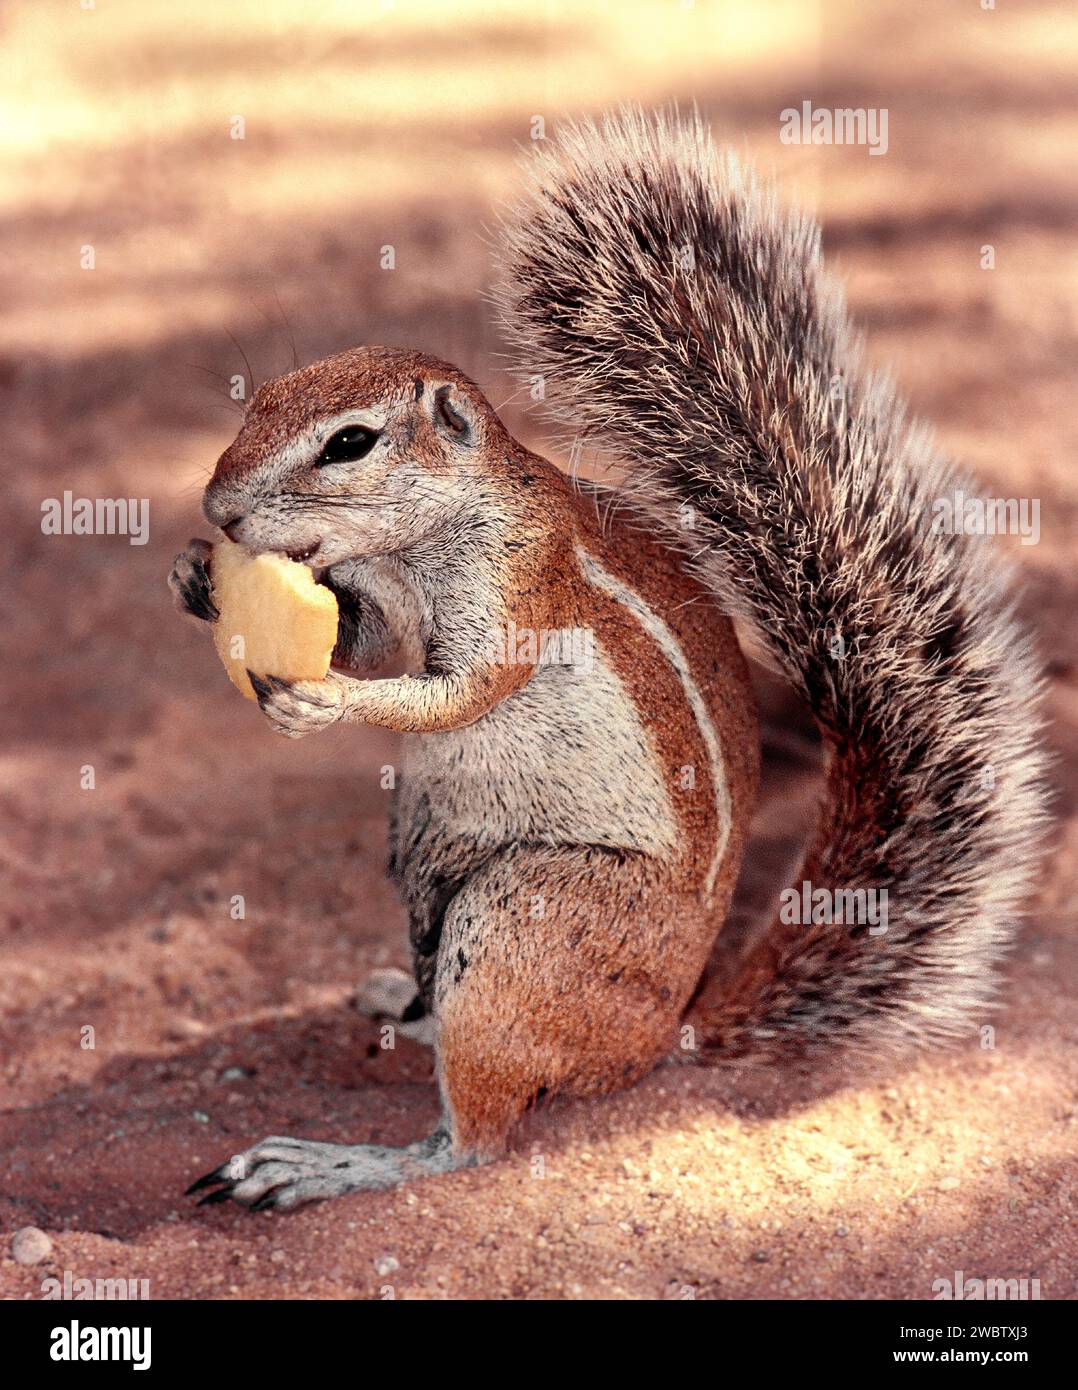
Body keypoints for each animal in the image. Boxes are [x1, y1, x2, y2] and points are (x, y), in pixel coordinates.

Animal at [172, 108, 1046, 1211]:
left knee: (470, 1142)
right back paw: (395, 1000)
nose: (219, 510)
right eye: (262, 401)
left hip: (525, 919)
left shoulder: (517, 590)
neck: (413, 547)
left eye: (350, 443)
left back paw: (329, 1160)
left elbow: (452, 693)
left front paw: (326, 701)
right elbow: (380, 645)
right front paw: (194, 583)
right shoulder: (385, 606)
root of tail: (661, 1034)